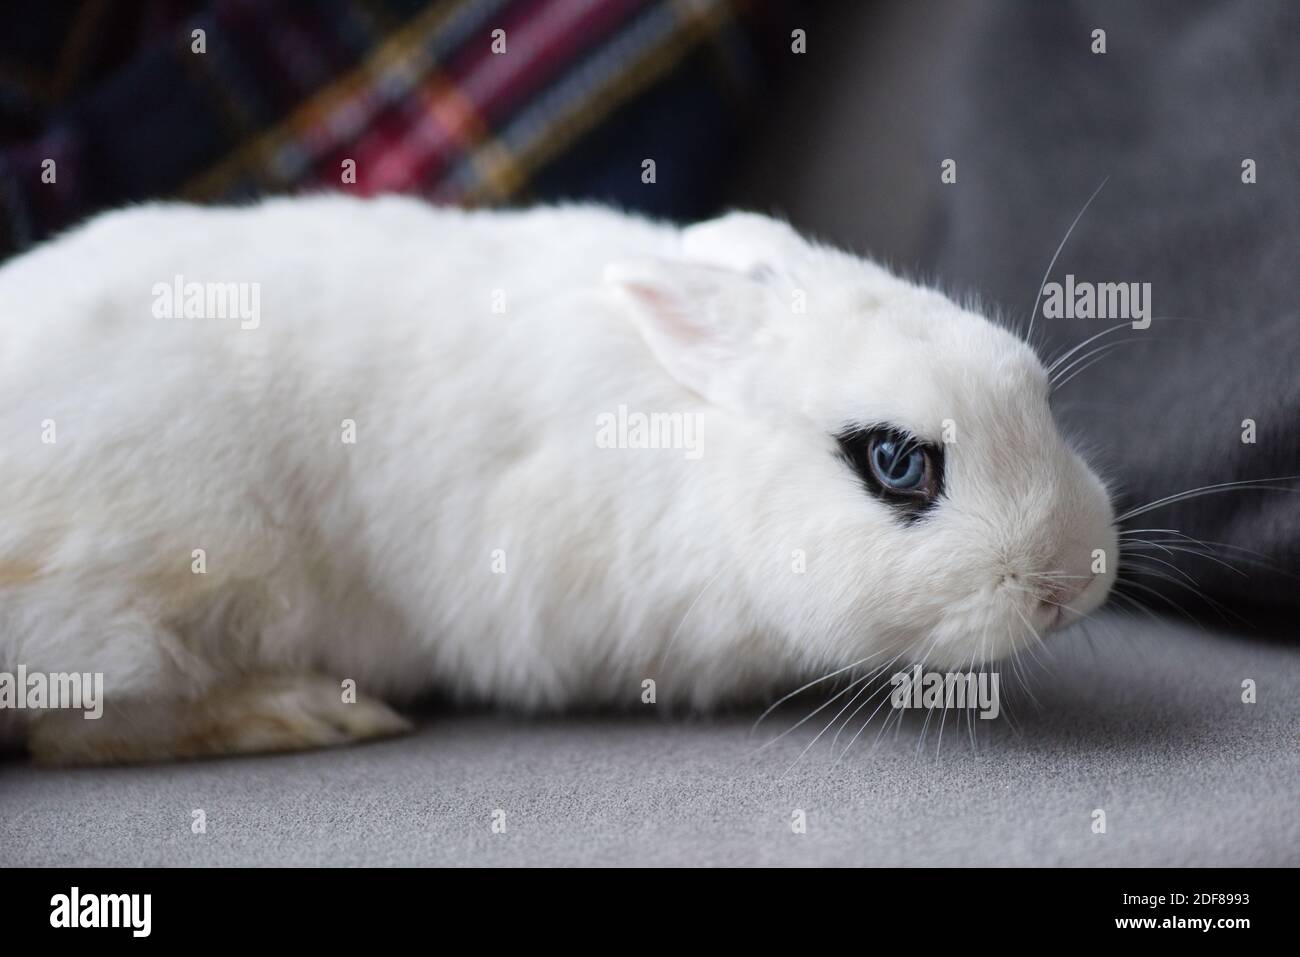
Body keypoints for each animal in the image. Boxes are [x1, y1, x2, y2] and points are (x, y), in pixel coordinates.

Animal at [0, 195, 1117, 764]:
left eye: (1033, 391)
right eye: (896, 464)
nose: (1073, 583)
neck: (702, 450)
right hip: (142, 591)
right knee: (78, 730)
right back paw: (310, 713)